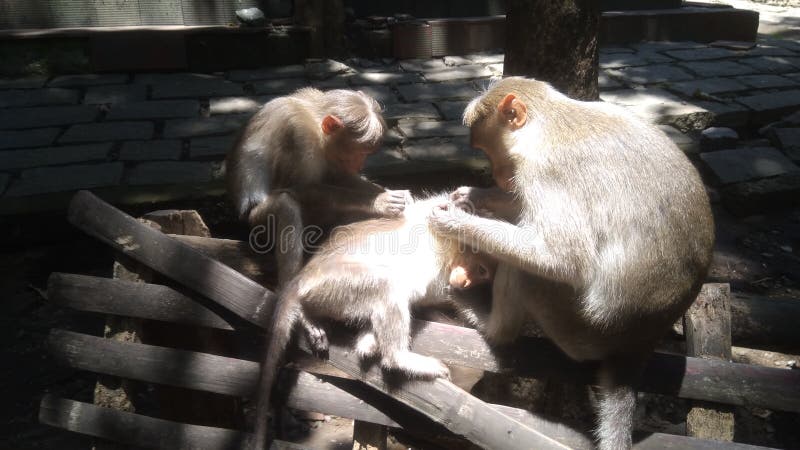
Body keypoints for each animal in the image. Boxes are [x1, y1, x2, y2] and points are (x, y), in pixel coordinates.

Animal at [250, 193, 497, 449]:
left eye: (482, 272)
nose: (466, 280)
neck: (448, 256)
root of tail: (304, 277)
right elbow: (425, 212)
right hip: (330, 286)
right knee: (388, 282)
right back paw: (397, 358)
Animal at [427, 77, 715, 450]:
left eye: (489, 151)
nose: (497, 175)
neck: (552, 122)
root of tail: (639, 343)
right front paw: (474, 195)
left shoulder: (545, 172)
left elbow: (563, 259)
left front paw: (454, 221)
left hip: (578, 327)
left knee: (527, 273)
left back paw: (491, 325)